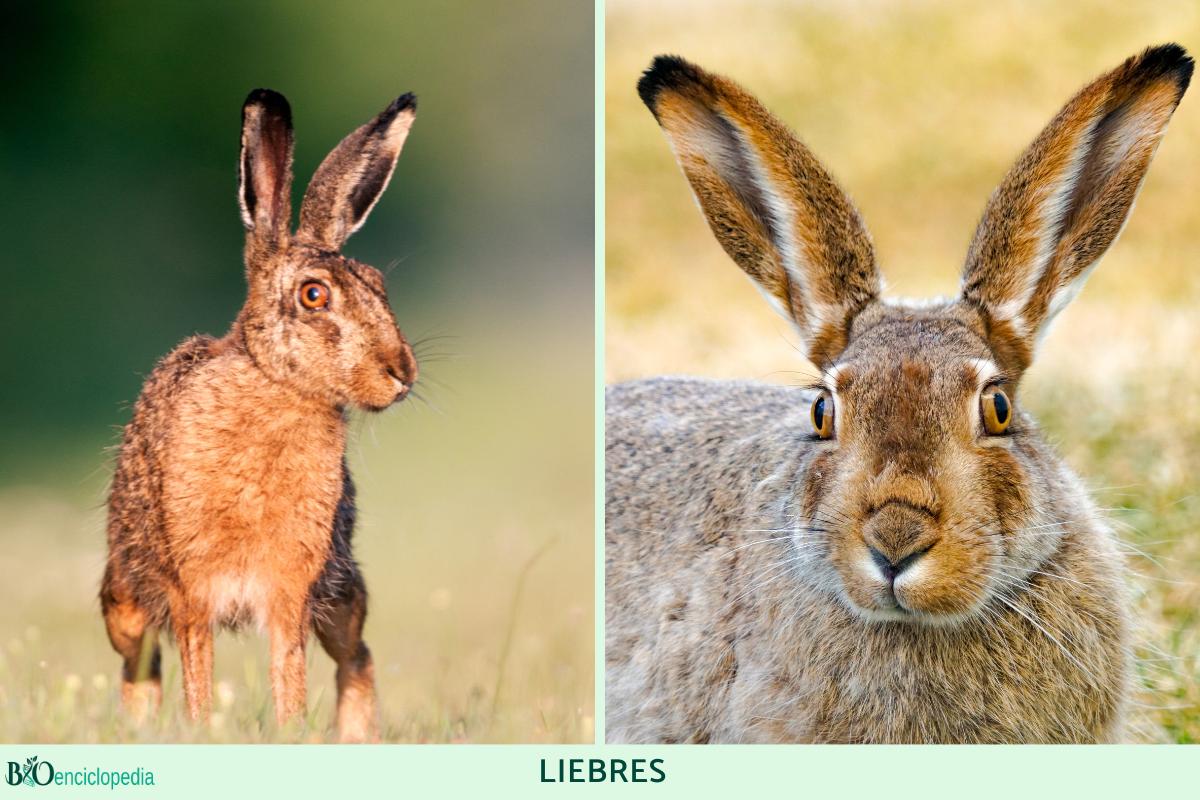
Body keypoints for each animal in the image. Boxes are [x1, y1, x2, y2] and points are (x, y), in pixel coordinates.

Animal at [101, 88, 418, 742]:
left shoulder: (293, 588)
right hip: (124, 597)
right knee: (138, 666)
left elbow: (288, 672)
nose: (402, 373)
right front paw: (202, 732)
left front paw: (291, 732)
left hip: (343, 588)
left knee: (356, 657)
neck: (276, 387)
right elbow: (196, 675)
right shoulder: (191, 589)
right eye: (313, 295)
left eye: (377, 284)